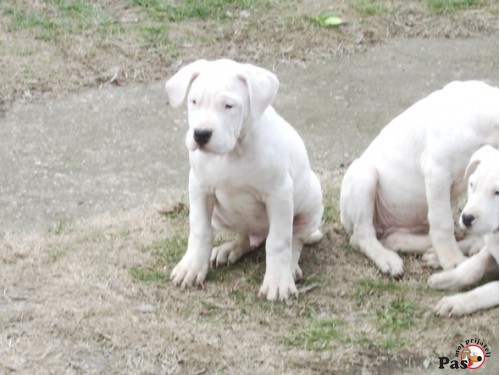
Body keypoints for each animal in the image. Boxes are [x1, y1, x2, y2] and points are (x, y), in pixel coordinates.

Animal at [164, 58, 322, 302]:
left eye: (229, 106)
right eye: (194, 101)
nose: (201, 134)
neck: (234, 151)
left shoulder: (279, 195)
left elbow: (279, 241)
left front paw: (277, 282)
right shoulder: (199, 187)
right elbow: (200, 229)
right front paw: (192, 267)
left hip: (311, 202)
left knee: (294, 239)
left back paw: (290, 267)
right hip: (221, 215)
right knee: (246, 236)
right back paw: (230, 249)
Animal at [342, 81, 498, 276]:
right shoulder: (437, 171)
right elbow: (442, 221)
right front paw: (452, 260)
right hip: (364, 176)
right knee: (361, 234)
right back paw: (386, 257)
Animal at [426, 146, 500, 318]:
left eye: (497, 192)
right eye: (471, 184)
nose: (466, 218)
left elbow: (488, 289)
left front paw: (458, 301)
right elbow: (475, 265)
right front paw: (446, 278)